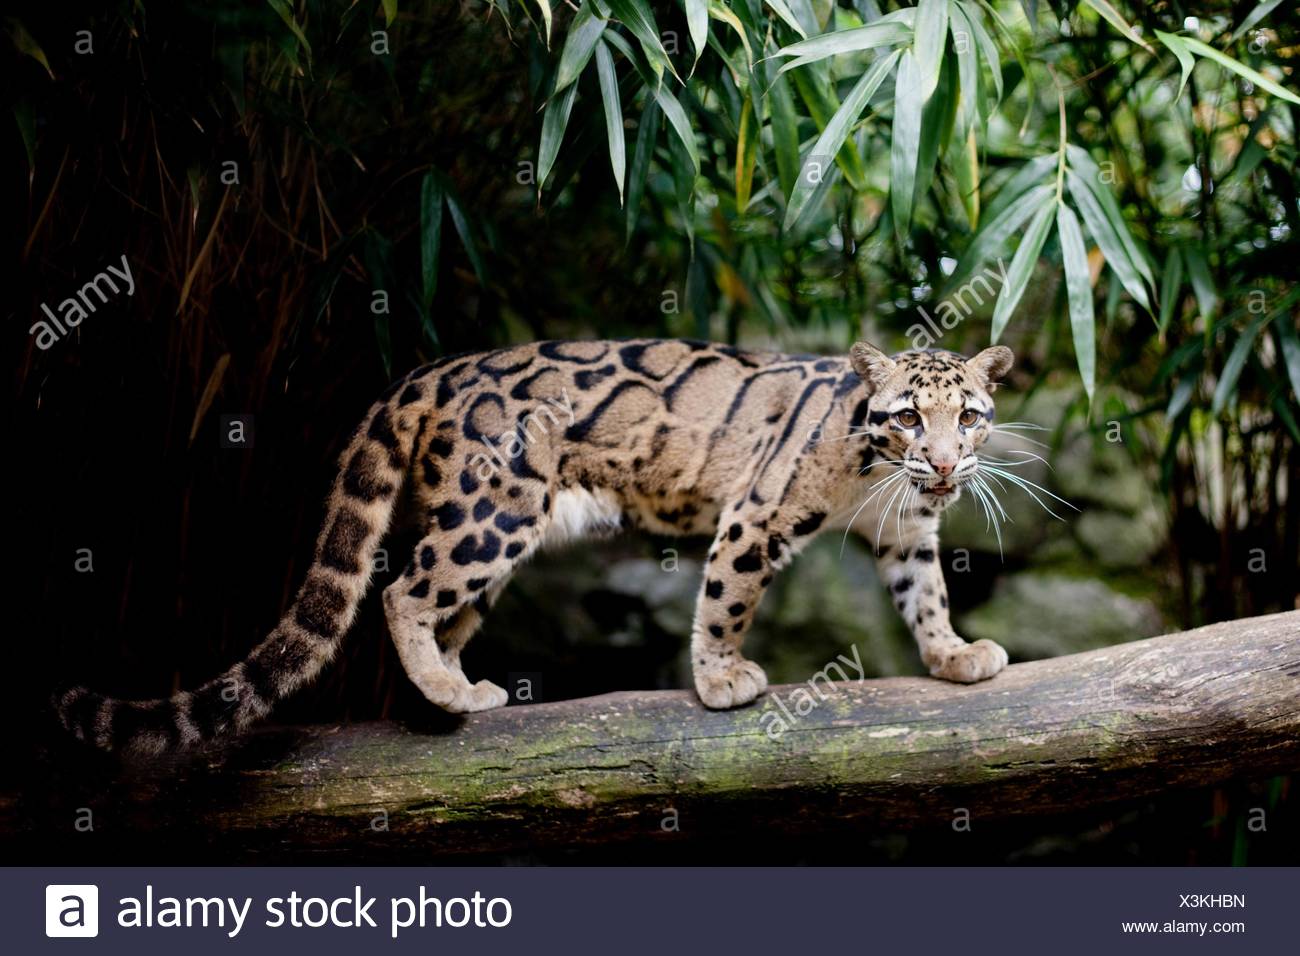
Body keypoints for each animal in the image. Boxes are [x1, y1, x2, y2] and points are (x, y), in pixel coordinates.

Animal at [56, 338, 1015, 754]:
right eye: (907, 416)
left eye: (968, 416)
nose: (943, 462)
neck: (879, 473)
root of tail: (425, 373)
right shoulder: (757, 513)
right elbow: (726, 601)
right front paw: (719, 680)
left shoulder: (908, 531)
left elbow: (926, 594)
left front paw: (953, 655)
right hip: (495, 512)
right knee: (402, 590)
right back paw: (447, 689)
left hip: (486, 532)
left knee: (439, 607)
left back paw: (451, 692)